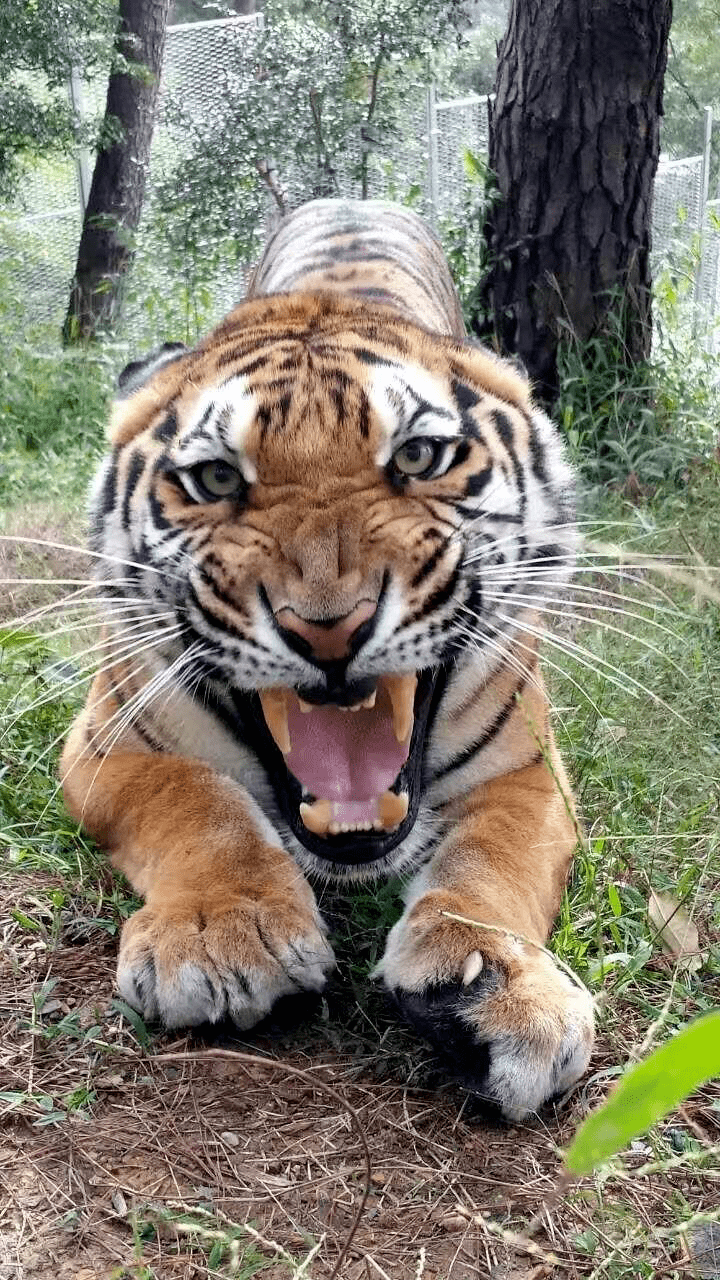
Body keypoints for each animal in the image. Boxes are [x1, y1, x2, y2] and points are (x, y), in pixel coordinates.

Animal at [60, 197, 594, 1121]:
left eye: (419, 456)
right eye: (212, 479)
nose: (328, 629)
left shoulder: (530, 772)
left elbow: (495, 859)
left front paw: (500, 983)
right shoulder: (105, 744)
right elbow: (193, 797)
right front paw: (222, 935)